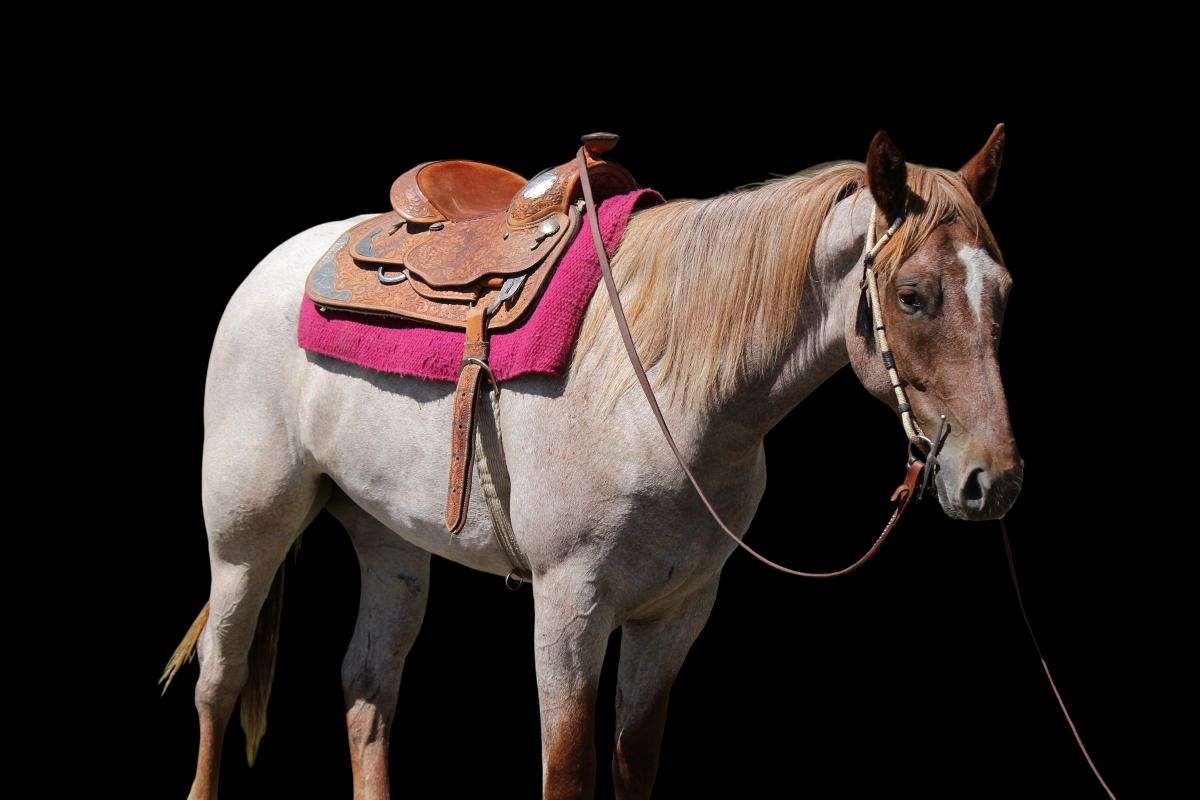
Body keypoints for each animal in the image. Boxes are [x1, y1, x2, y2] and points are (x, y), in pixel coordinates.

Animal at [163, 126, 1021, 799]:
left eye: (1005, 292)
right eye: (911, 295)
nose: (994, 479)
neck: (670, 388)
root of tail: (272, 267)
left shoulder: (677, 610)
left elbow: (633, 761)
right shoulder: (570, 602)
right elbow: (568, 771)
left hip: (389, 538)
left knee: (368, 691)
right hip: (245, 534)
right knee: (218, 679)